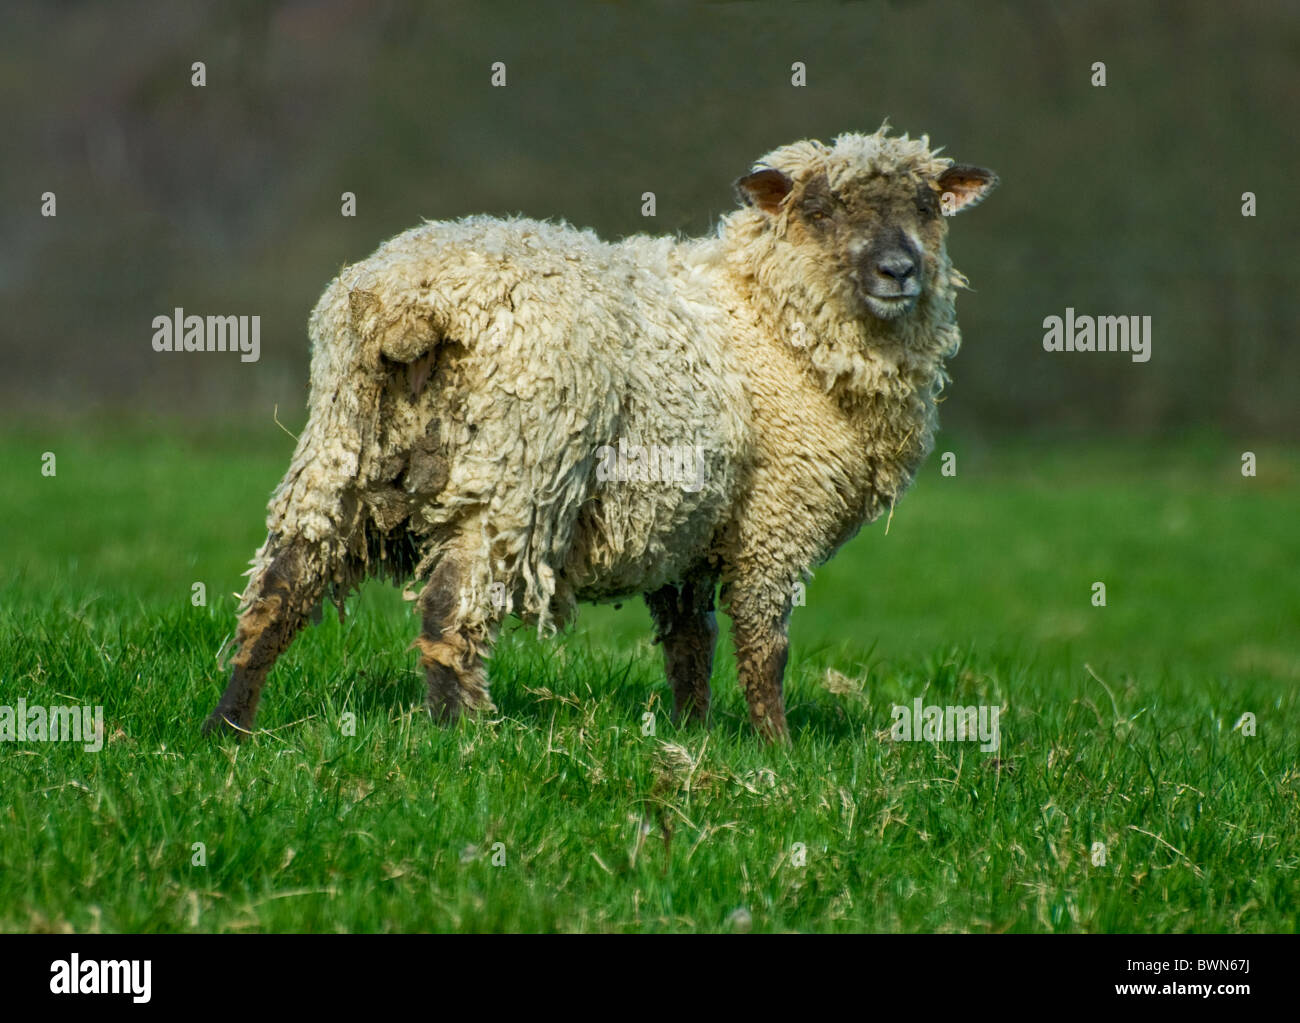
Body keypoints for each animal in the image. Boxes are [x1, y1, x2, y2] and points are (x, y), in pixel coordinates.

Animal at [202, 125, 997, 743]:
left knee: (277, 595)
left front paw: (693, 735)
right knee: (449, 613)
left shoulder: (688, 530)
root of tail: (415, 306)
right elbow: (762, 643)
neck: (772, 318)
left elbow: (690, 643)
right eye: (823, 208)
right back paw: (463, 738)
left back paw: (228, 727)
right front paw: (777, 750)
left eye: (928, 206)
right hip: (513, 476)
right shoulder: (775, 519)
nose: (900, 271)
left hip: (338, 455)